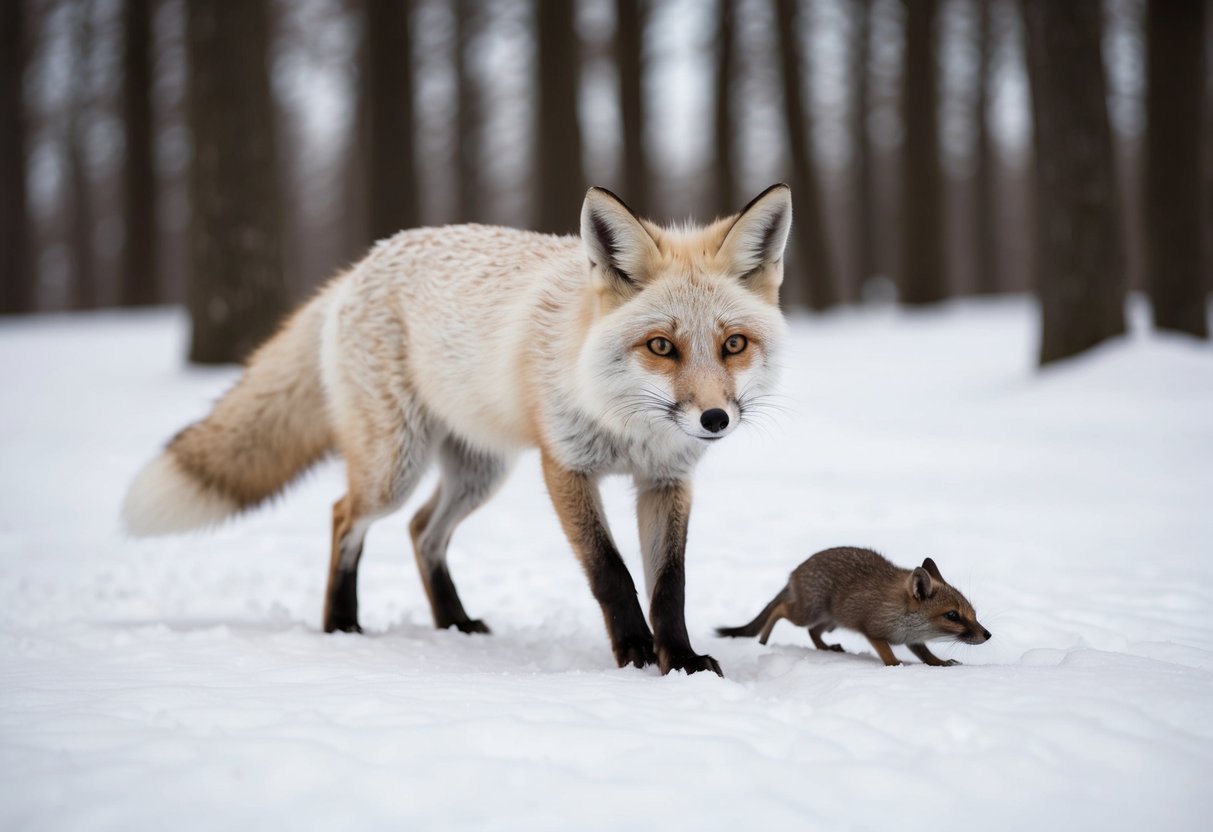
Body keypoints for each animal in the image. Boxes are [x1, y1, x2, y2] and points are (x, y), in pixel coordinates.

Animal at [122, 184, 794, 676]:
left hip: (479, 472)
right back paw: (341, 624)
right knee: (345, 515)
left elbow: (668, 586)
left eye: (733, 345)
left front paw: (678, 658)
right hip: (395, 468)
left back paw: (454, 621)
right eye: (661, 347)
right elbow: (612, 574)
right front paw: (633, 653)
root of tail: (359, 266)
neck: (627, 424)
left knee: (423, 531)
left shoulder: (666, 481)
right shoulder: (566, 466)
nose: (714, 419)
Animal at [716, 547, 991, 666]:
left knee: (812, 632)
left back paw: (826, 649)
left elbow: (927, 655)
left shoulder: (912, 640)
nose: (987, 635)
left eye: (973, 614)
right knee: (779, 609)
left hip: (831, 621)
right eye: (953, 615)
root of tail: (795, 571)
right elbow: (888, 655)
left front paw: (940, 664)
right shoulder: (874, 631)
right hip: (808, 614)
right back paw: (762, 640)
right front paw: (897, 666)